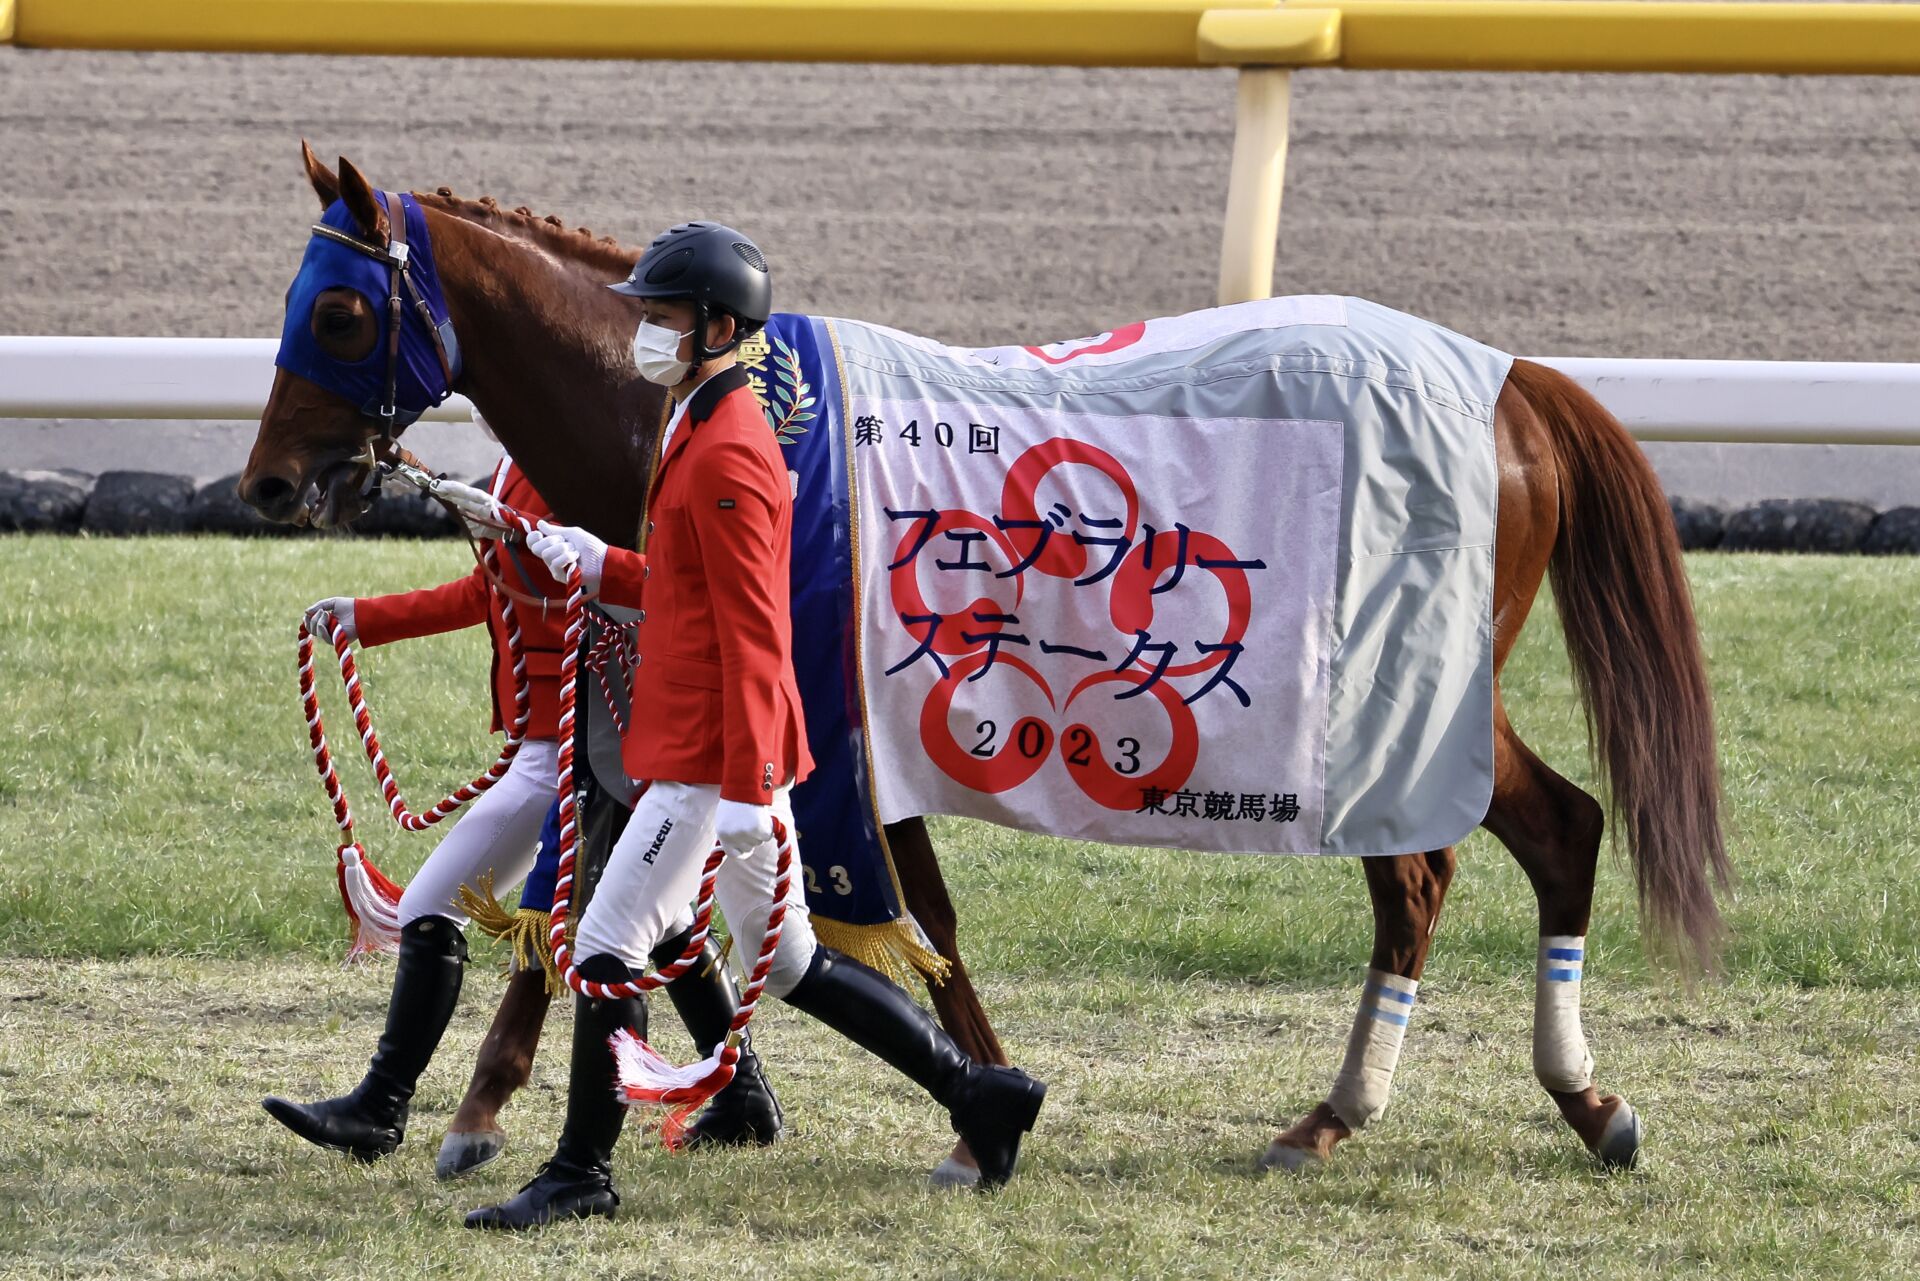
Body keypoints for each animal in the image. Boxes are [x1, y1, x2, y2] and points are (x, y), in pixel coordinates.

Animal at [239, 144, 1728, 1177]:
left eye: (341, 316)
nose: (267, 485)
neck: (724, 406)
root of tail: (1511, 378)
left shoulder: (814, 729)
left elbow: (822, 919)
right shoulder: (740, 727)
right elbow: (827, 921)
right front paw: (969, 1100)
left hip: (1396, 708)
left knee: (1495, 848)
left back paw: (1498, 1102)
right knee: (1493, 850)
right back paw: (1435, 1107)